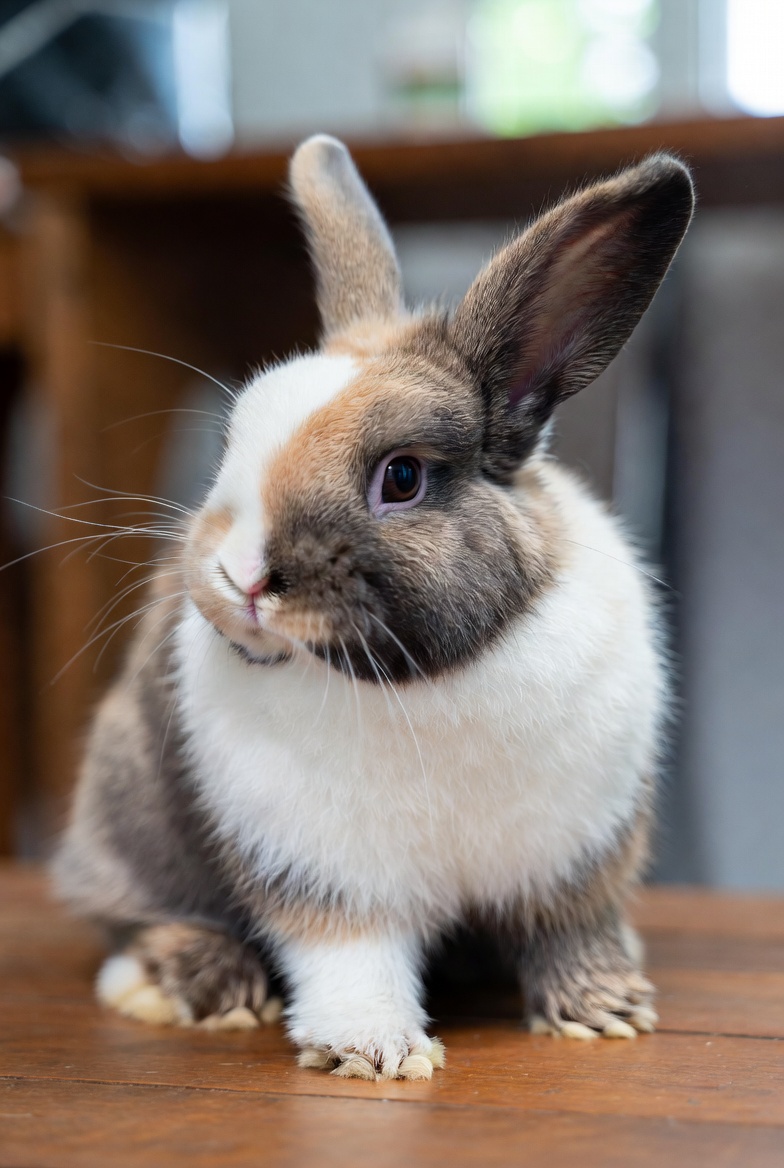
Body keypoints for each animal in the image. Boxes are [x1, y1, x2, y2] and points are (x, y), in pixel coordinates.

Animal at [53, 134, 694, 1081]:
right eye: (230, 445)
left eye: (402, 476)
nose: (239, 575)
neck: (419, 679)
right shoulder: (321, 871)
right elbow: (349, 954)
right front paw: (375, 1051)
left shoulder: (578, 857)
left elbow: (568, 931)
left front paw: (604, 1010)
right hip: (125, 811)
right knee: (126, 915)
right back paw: (192, 984)